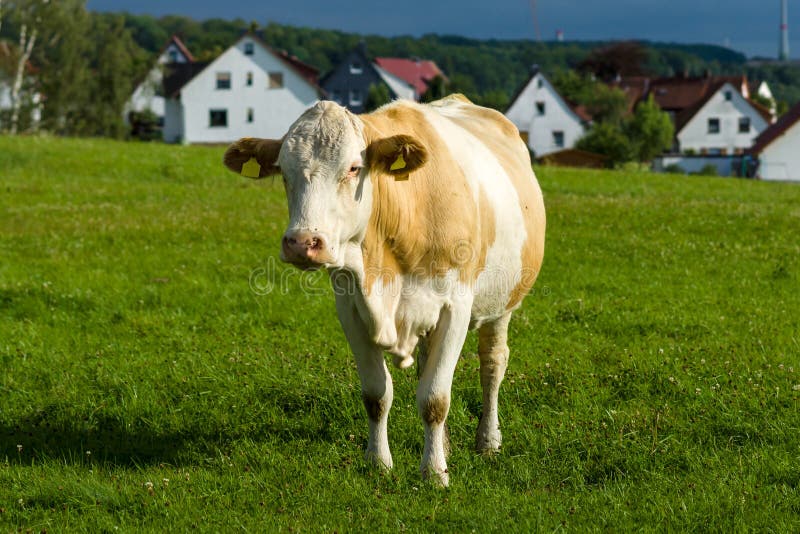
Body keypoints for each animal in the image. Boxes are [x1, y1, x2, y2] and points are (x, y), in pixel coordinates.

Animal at [223, 95, 545, 486]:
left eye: (353, 168)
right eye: (284, 172)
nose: (301, 243)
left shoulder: (456, 306)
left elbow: (435, 398)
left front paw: (434, 473)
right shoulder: (349, 308)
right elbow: (377, 393)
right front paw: (379, 462)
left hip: (504, 302)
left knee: (493, 364)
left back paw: (488, 440)